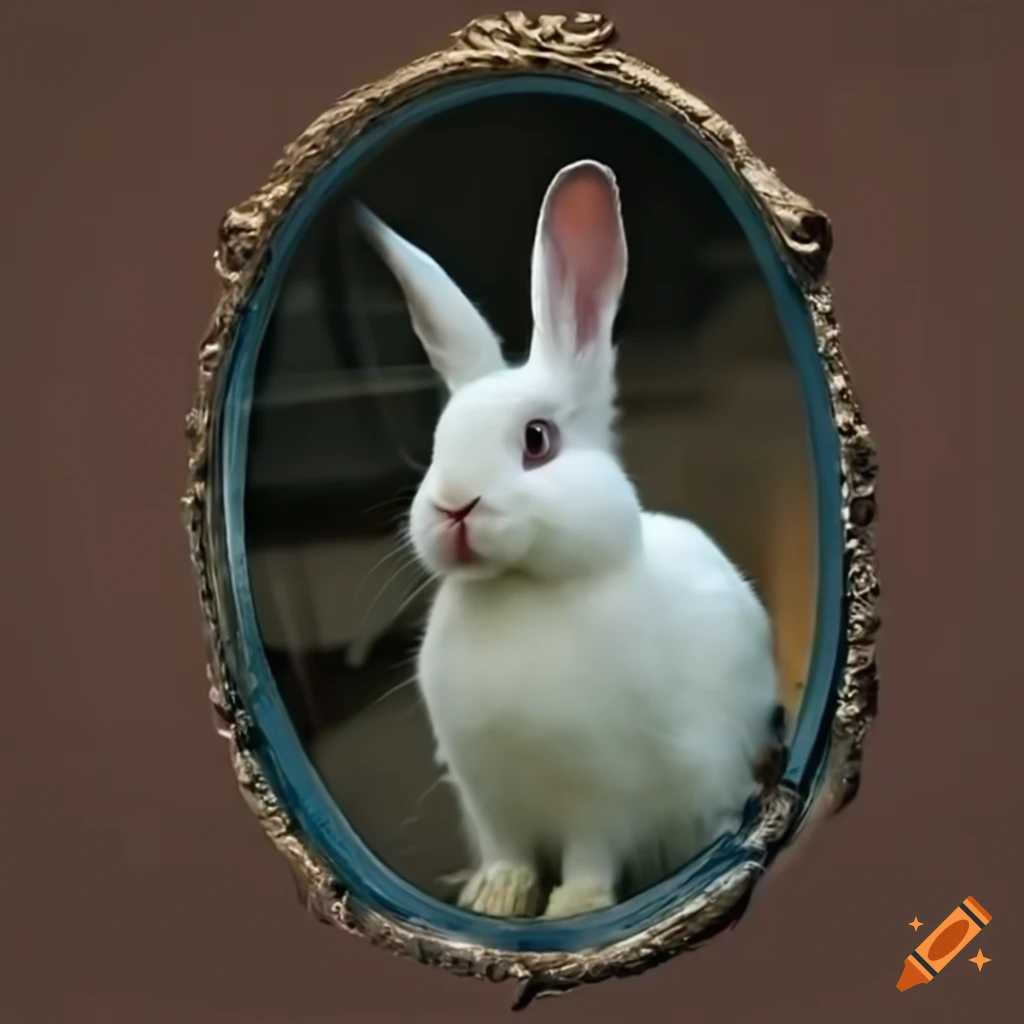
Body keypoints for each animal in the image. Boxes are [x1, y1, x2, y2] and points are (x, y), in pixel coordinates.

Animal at [354, 159, 780, 920]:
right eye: (437, 444)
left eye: (536, 441)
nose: (453, 506)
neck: (519, 591)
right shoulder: (488, 798)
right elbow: (510, 854)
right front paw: (497, 898)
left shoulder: (602, 798)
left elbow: (588, 857)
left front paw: (573, 909)